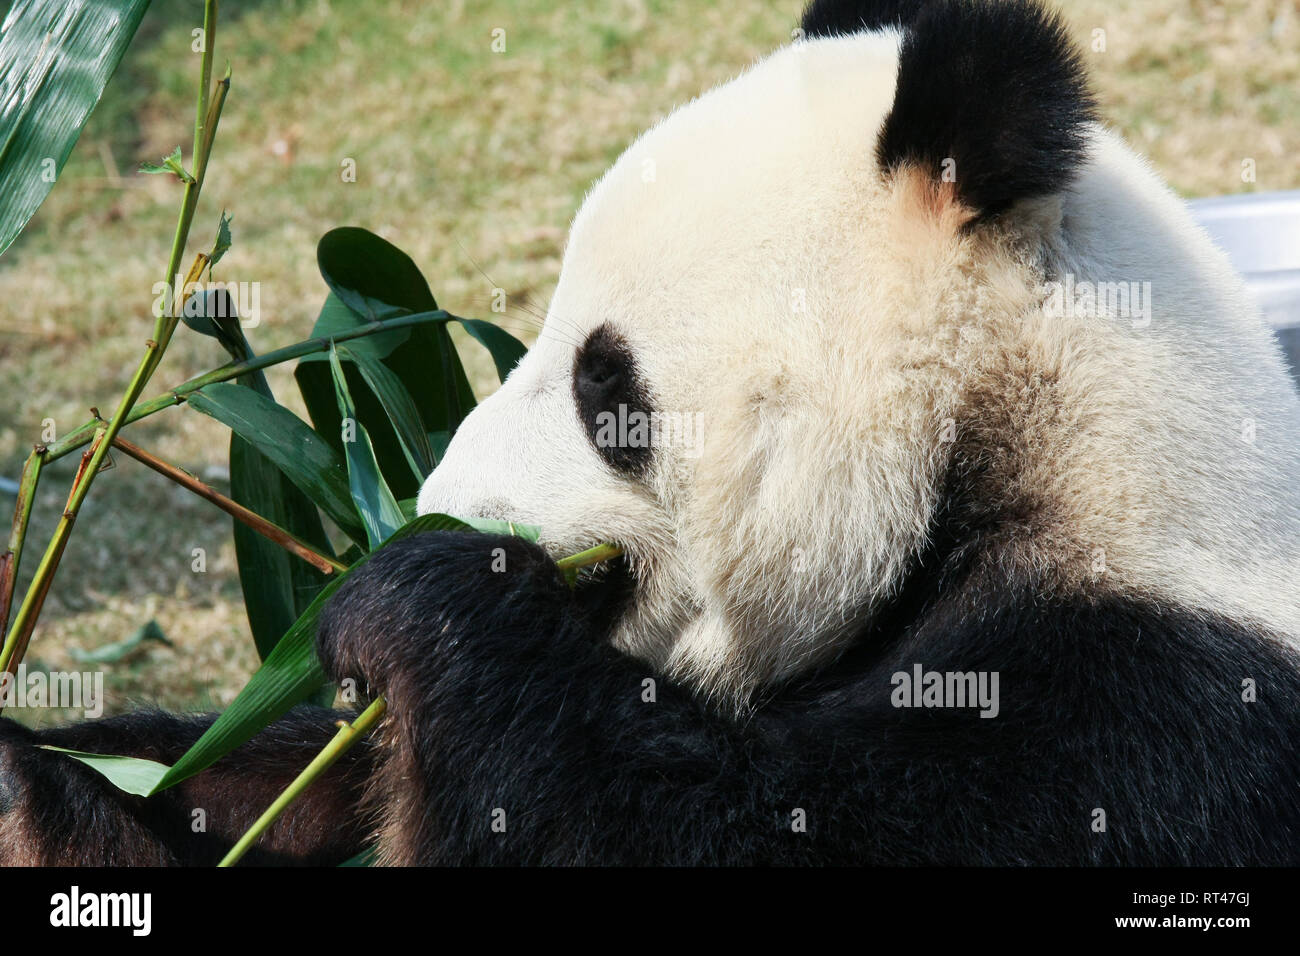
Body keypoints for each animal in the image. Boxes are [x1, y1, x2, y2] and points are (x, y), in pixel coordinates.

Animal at [2, 0, 1299, 866]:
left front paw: (426, 603)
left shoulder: (1142, 714)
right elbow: (302, 777)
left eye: (604, 386)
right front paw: (44, 793)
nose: (440, 503)